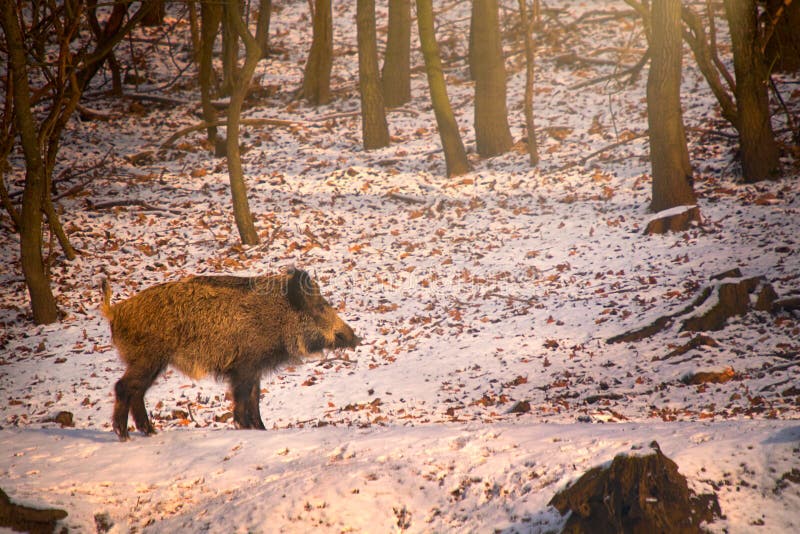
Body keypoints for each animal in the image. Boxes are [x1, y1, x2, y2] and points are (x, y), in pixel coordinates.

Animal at [101, 268, 361, 441]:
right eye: (320, 308)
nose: (355, 338)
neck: (278, 316)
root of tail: (114, 311)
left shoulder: (254, 369)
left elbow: (255, 399)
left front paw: (261, 430)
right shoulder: (243, 367)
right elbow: (243, 399)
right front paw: (245, 429)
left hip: (153, 362)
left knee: (137, 392)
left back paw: (150, 432)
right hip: (148, 358)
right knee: (123, 387)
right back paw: (124, 436)